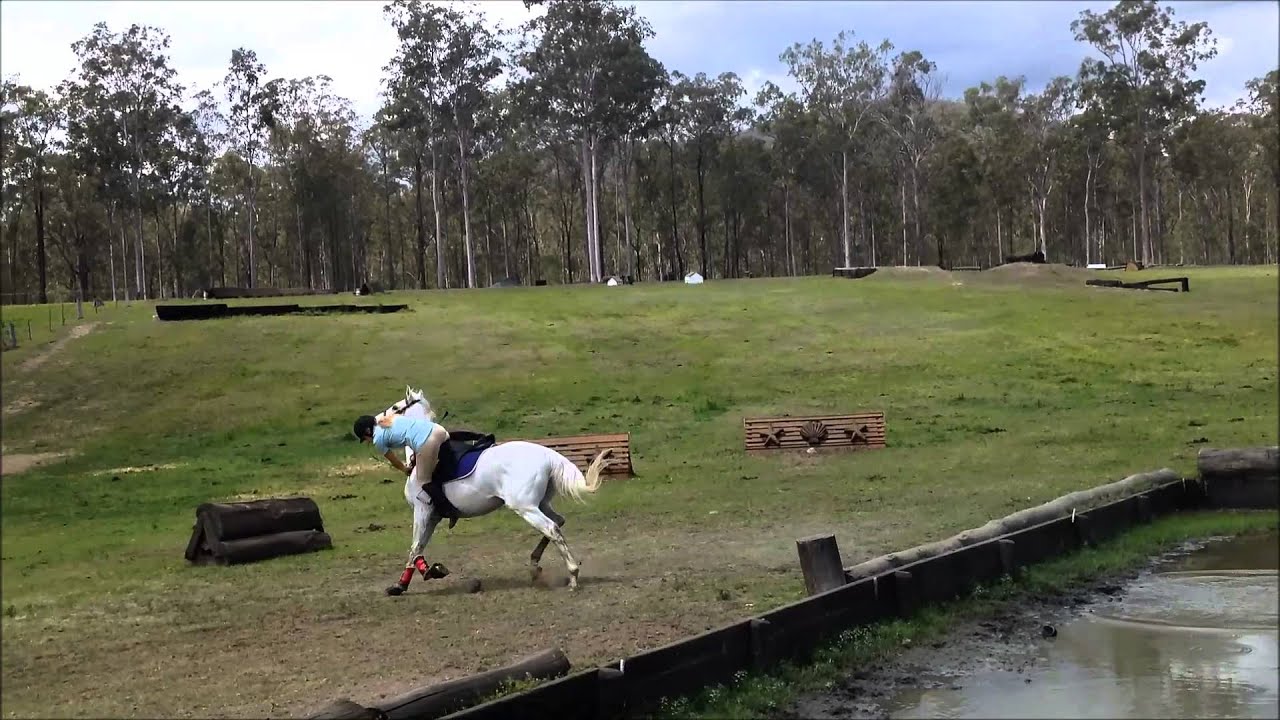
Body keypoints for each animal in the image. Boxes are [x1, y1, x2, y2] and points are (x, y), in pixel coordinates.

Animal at [373, 385, 616, 596]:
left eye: (395, 407)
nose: (375, 421)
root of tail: (548, 455)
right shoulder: (433, 516)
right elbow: (418, 548)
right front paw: (413, 579)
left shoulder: (423, 510)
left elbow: (415, 548)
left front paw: (413, 580)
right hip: (540, 504)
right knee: (557, 522)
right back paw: (535, 566)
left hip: (524, 507)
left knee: (552, 528)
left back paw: (572, 575)